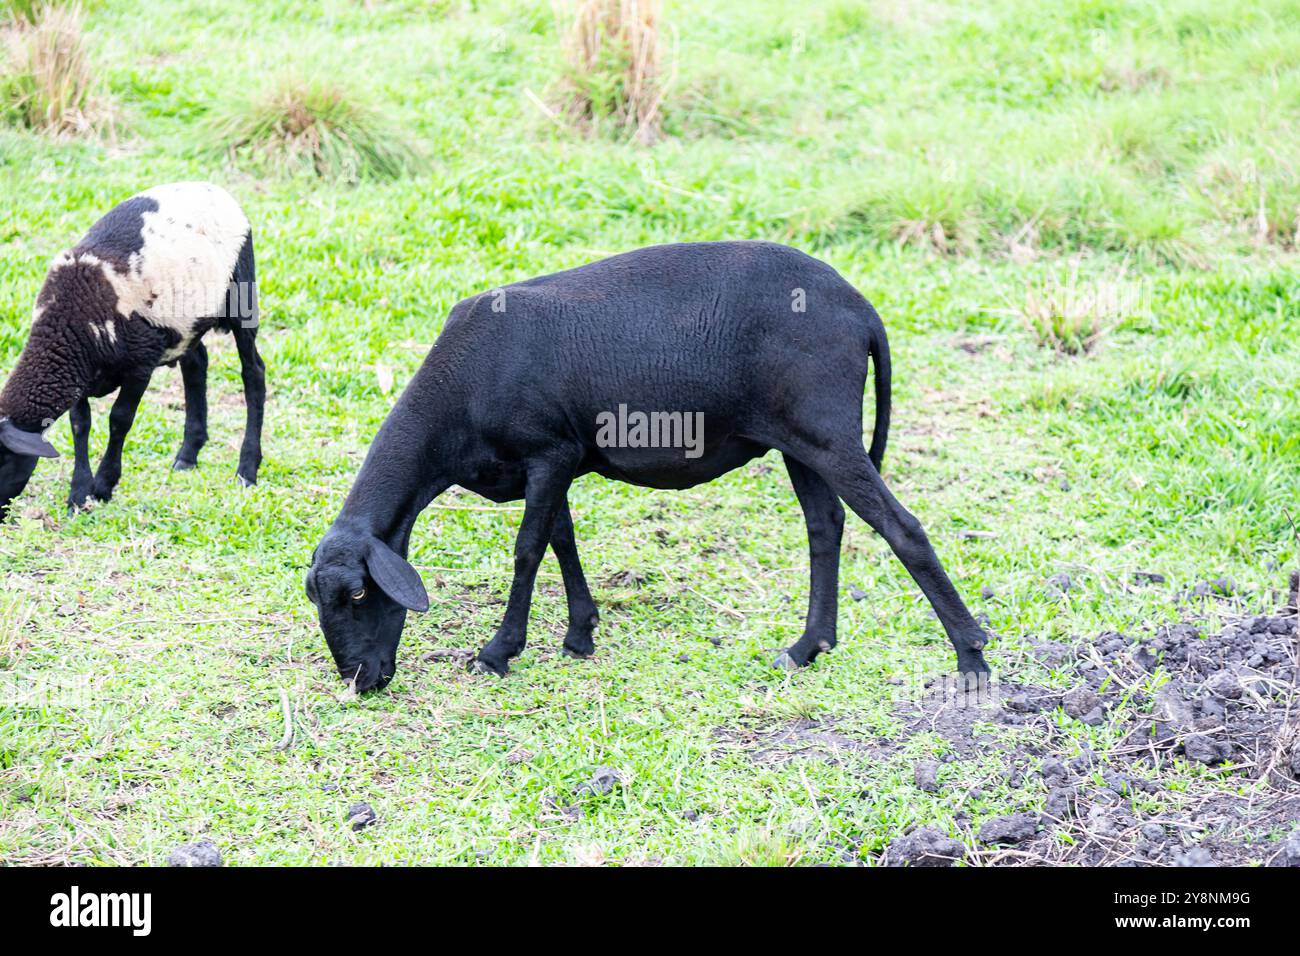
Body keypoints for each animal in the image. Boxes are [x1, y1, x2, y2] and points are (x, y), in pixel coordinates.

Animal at [0, 182, 264, 518]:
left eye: (2, 459)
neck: (67, 325)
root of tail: (215, 188)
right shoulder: (81, 370)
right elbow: (80, 425)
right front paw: (78, 494)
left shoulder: (140, 363)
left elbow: (120, 419)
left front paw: (103, 485)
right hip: (183, 323)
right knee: (196, 364)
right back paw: (188, 454)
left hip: (242, 295)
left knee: (253, 372)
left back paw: (247, 470)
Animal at [306, 240, 992, 693]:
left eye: (360, 592)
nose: (360, 680)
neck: (453, 409)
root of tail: (862, 310)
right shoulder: (559, 459)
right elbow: (561, 539)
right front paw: (580, 636)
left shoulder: (548, 452)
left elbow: (529, 550)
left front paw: (500, 651)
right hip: (801, 441)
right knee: (826, 529)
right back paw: (806, 649)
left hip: (827, 432)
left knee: (903, 529)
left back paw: (971, 656)